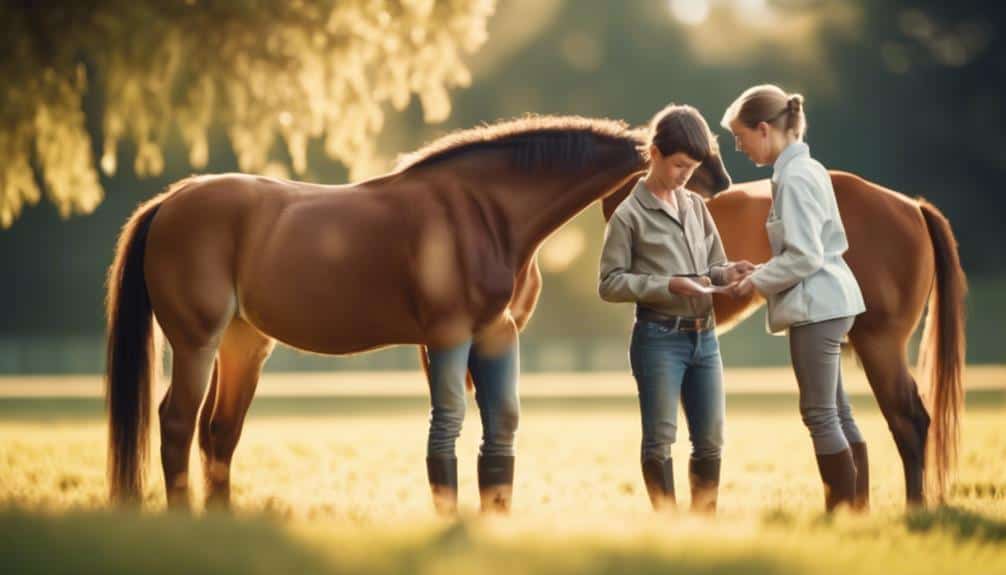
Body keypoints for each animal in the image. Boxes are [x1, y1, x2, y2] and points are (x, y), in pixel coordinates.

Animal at [104, 115, 733, 508]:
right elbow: (447, 429)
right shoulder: (447, 337)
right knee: (177, 423)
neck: (486, 211)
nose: (721, 185)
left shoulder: (495, 336)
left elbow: (498, 429)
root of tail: (172, 202)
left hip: (244, 343)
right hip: (197, 342)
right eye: (684, 171)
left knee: (218, 434)